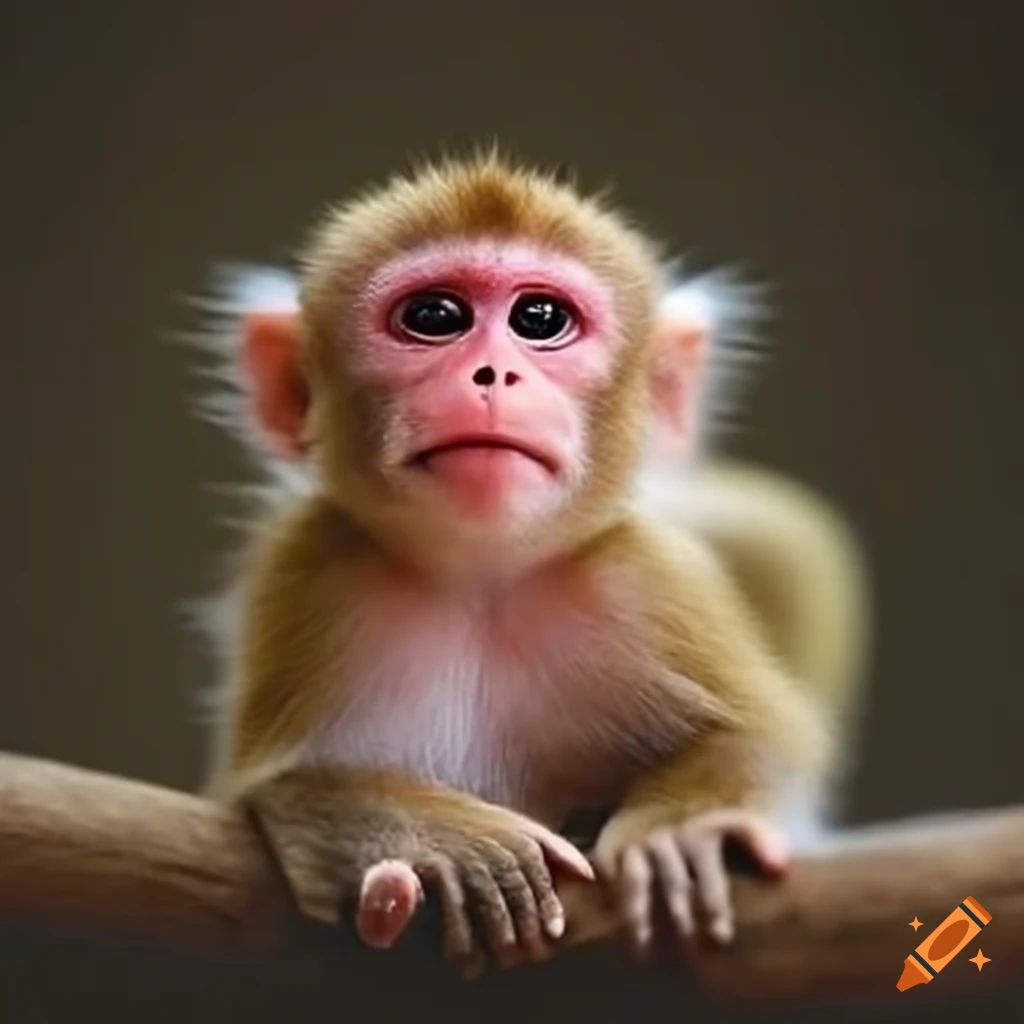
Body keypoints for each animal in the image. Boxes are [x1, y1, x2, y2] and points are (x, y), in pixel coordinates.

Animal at [185, 151, 869, 975]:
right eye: (435, 317)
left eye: (540, 320)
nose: (492, 375)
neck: (480, 583)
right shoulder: (309, 570)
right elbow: (272, 786)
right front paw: (440, 842)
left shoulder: (642, 580)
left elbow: (769, 739)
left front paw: (685, 830)